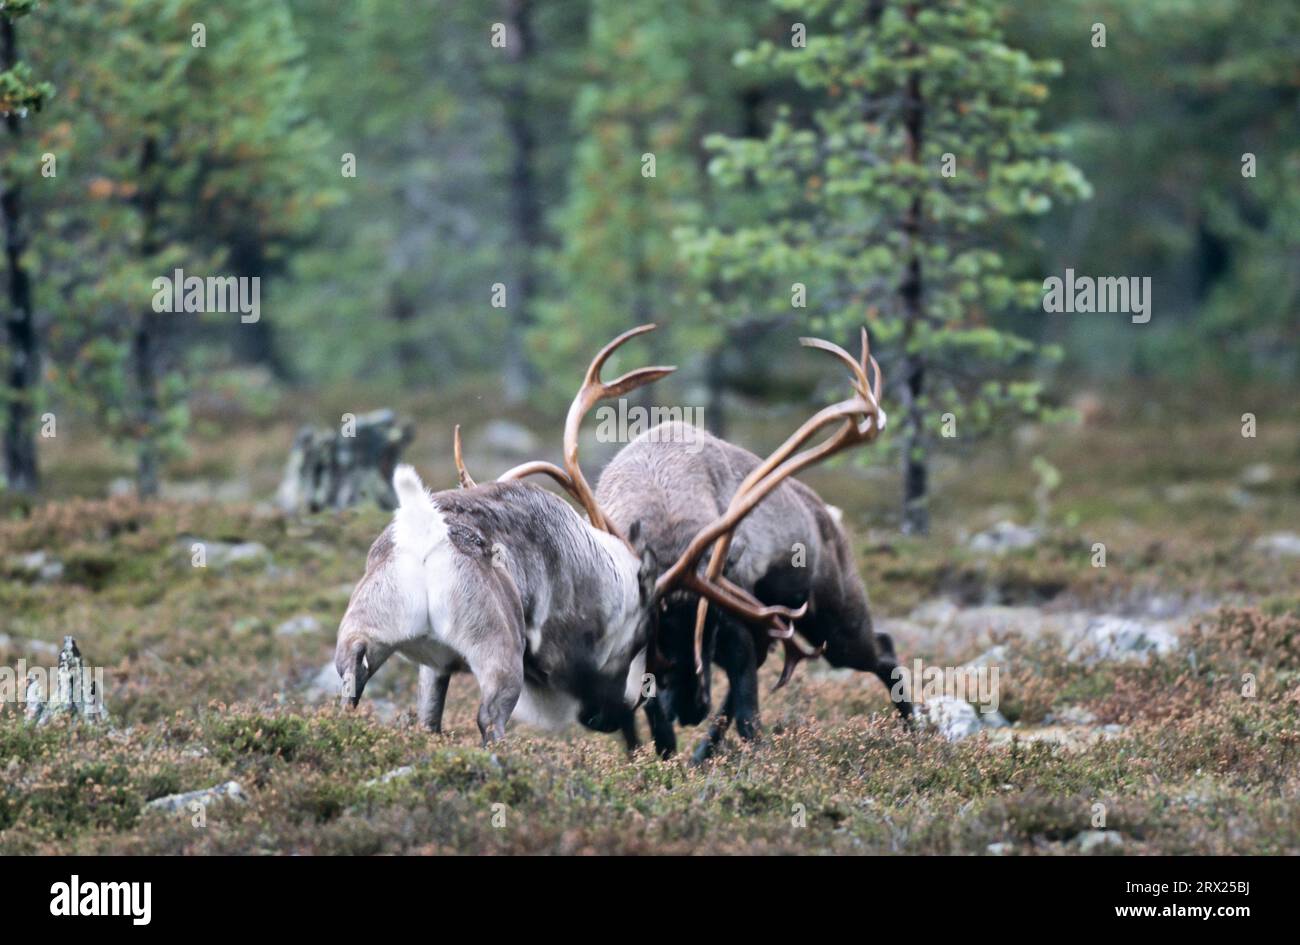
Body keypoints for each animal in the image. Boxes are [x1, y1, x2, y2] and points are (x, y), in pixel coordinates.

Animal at [335, 326, 825, 748]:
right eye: (647, 636)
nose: (605, 717)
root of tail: (426, 535)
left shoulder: (435, 667)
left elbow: (429, 712)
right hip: (498, 649)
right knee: (490, 716)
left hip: (366, 625)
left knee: (353, 686)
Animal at [454, 326, 907, 759]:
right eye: (638, 638)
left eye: (708, 626)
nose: (690, 708)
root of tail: (827, 513)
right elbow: (662, 737)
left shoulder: (735, 621)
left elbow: (748, 716)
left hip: (831, 615)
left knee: (881, 649)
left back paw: (913, 731)